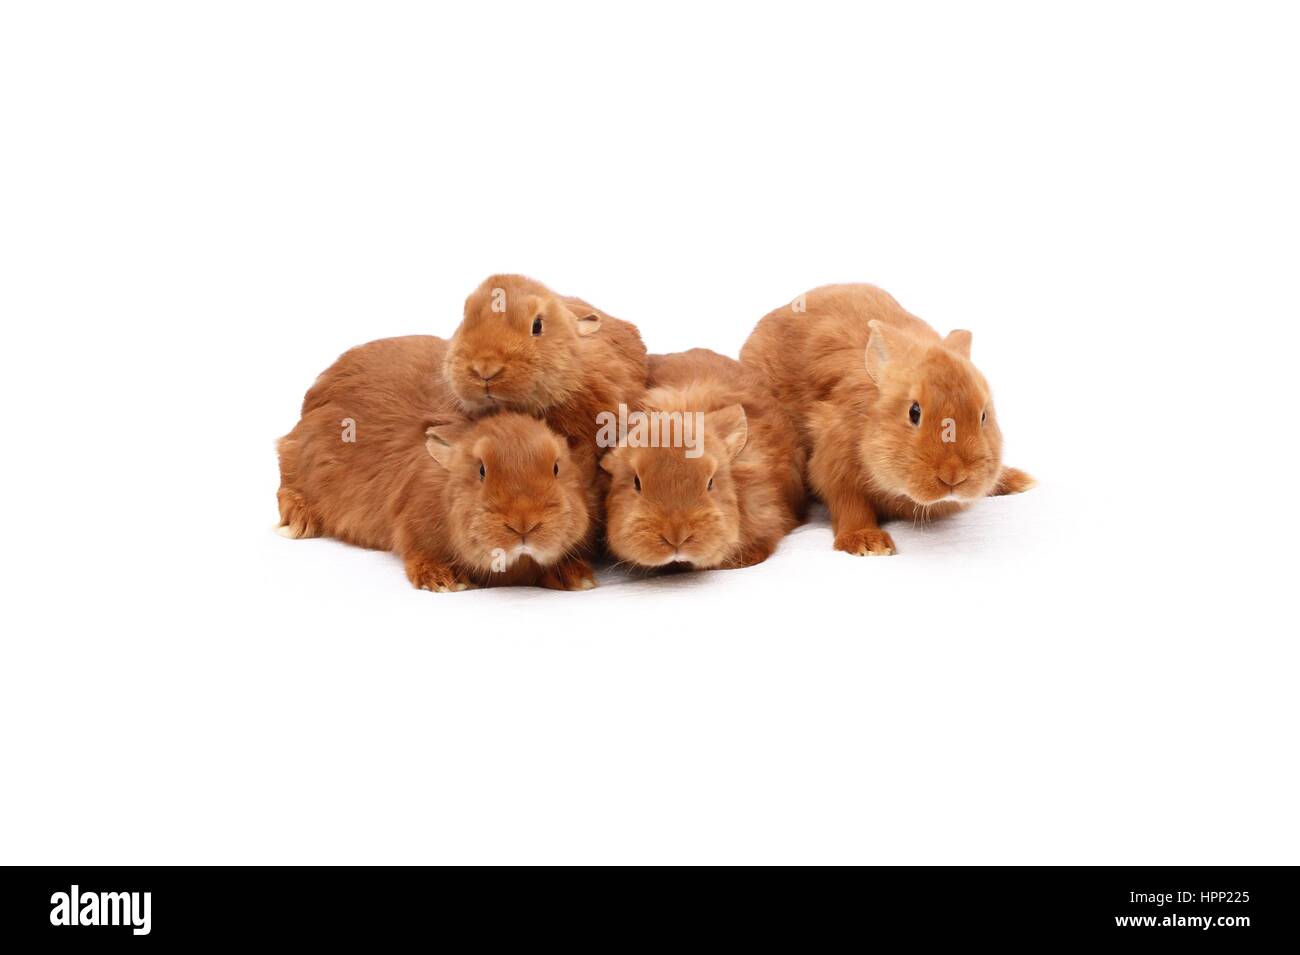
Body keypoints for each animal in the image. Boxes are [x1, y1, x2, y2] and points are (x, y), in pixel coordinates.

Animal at [276, 335, 597, 591]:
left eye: (556, 468)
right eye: (481, 470)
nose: (524, 523)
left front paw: (576, 577)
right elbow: (417, 551)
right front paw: (444, 580)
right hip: (298, 459)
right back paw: (297, 521)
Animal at [740, 284, 1035, 556]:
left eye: (983, 415)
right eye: (914, 412)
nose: (954, 475)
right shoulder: (834, 464)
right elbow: (850, 505)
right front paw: (867, 542)